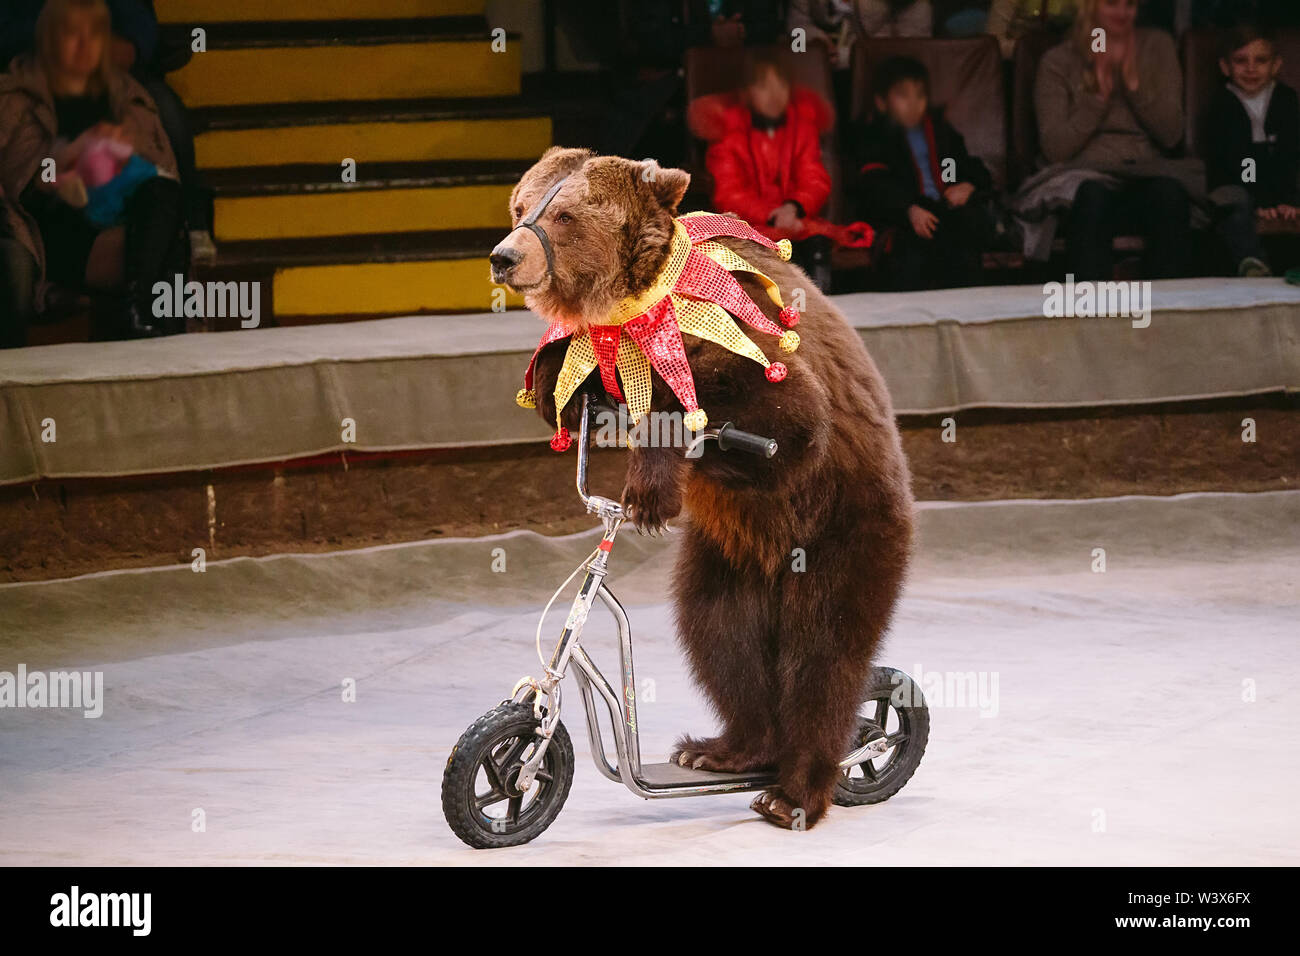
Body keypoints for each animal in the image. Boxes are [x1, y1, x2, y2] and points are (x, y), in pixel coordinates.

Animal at [489, 147, 914, 829]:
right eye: (521, 205)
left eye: (565, 215)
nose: (504, 256)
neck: (637, 304)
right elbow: (568, 396)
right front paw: (559, 377)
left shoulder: (741, 326)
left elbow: (784, 412)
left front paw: (651, 489)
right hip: (726, 553)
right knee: (717, 630)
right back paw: (726, 749)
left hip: (845, 524)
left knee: (823, 651)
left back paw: (795, 790)